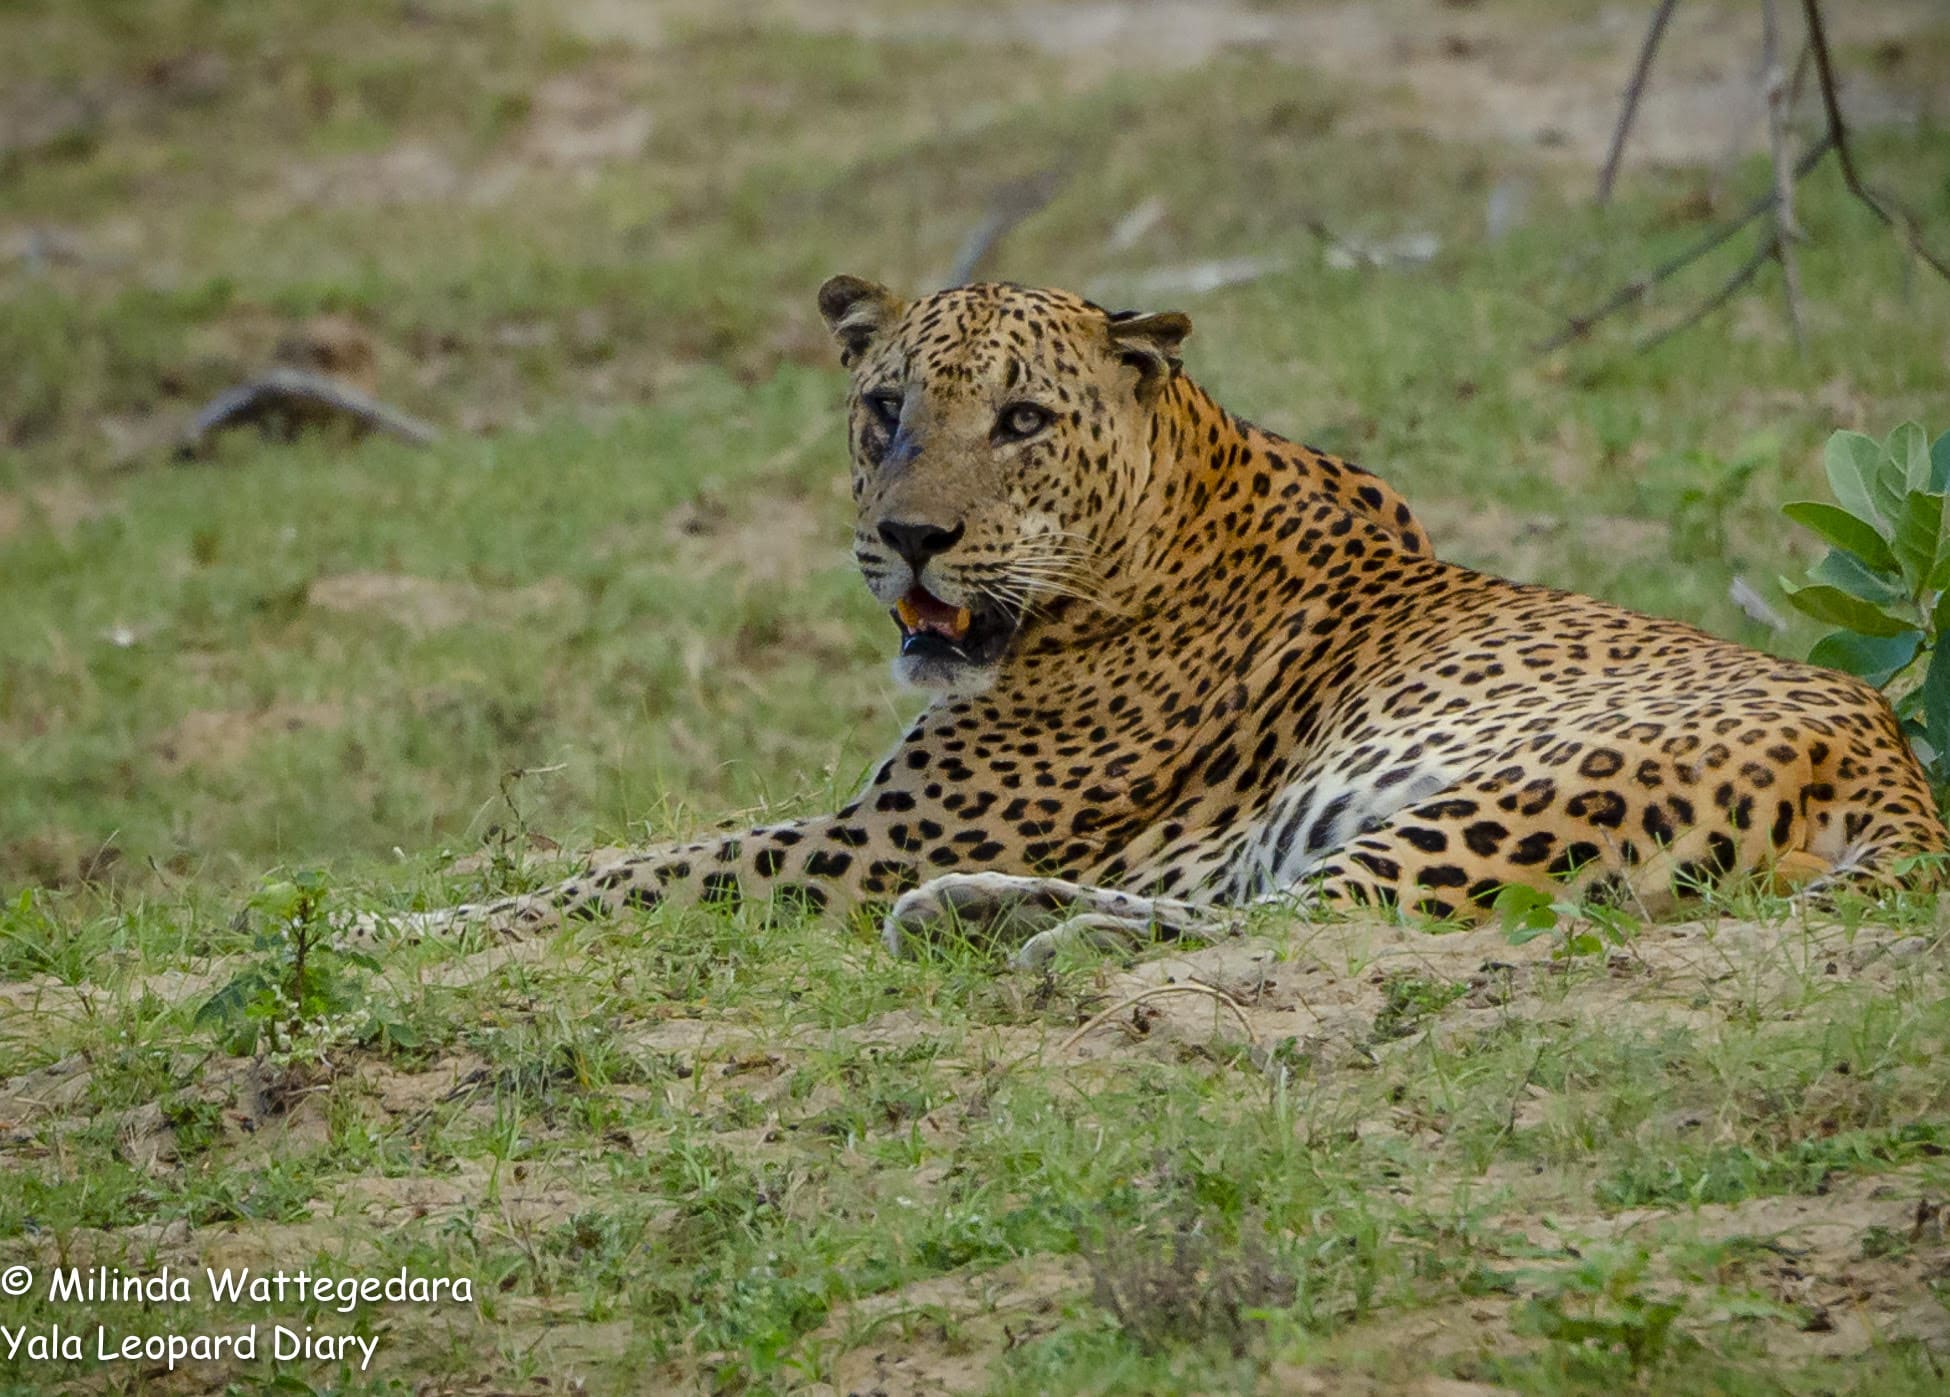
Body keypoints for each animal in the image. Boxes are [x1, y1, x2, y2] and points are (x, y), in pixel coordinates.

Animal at [355, 276, 1948, 965]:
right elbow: (596, 851)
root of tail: (1893, 757)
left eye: (1021, 420)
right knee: (1249, 908)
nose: (910, 537)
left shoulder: (875, 837)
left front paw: (390, 924)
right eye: (884, 410)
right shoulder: (877, 826)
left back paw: (1029, 934)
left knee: (1295, 929)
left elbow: (630, 876)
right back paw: (989, 918)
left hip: (1511, 792)